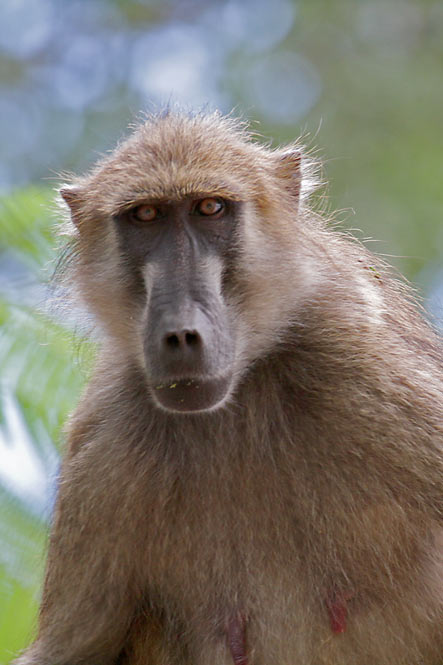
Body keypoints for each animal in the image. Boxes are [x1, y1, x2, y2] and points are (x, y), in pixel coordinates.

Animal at [14, 110, 443, 665]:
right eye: (145, 216)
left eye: (210, 208)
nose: (179, 334)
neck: (243, 396)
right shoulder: (104, 438)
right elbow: (71, 650)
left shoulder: (366, 364)